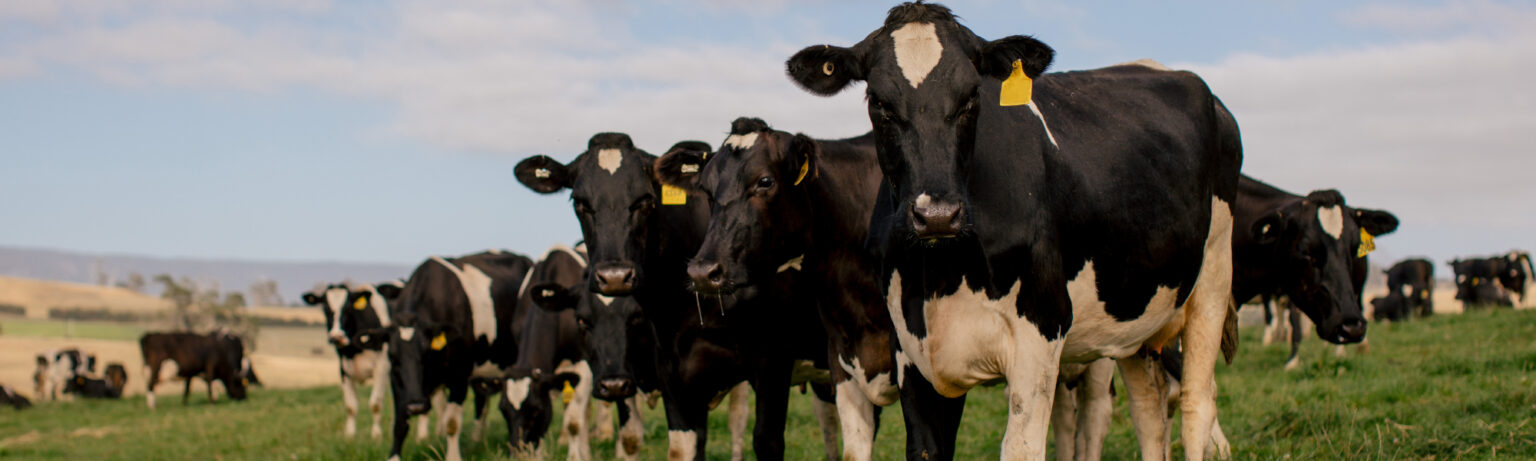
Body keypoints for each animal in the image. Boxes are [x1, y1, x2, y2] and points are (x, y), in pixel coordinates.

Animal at [302, 280, 405, 439]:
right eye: (325, 308)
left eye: (348, 309)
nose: (336, 336)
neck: (354, 349)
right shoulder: (344, 369)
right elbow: (350, 406)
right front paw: (350, 435)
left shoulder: (381, 367)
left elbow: (375, 404)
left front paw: (376, 435)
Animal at [382, 250, 534, 461]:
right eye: (394, 356)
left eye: (426, 353)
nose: (416, 407)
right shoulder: (396, 379)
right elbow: (399, 424)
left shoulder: (460, 374)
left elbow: (452, 423)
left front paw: (453, 456)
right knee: (483, 401)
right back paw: (477, 440)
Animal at [515, 134, 834, 461]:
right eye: (580, 203)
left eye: (645, 201)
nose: (614, 276)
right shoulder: (672, 377)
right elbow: (672, 445)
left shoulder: (771, 364)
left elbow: (763, 439)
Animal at [784, 3, 1242, 459]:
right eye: (878, 102)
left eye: (972, 97)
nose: (937, 215)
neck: (940, 275)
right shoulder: (913, 353)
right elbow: (927, 447)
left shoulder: (1040, 332)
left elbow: (1022, 446)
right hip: (1134, 314)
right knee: (1149, 410)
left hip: (1213, 278)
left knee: (1197, 402)